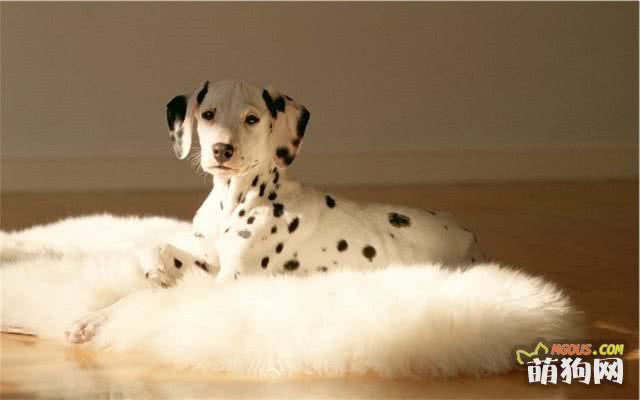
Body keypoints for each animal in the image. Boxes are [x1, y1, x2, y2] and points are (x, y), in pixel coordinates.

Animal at [66, 79, 480, 342]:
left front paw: (93, 319)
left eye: (251, 119)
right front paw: (157, 269)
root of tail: (468, 235)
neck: (234, 201)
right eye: (208, 114)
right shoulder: (210, 262)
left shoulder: (226, 283)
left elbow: (143, 299)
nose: (221, 150)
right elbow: (154, 246)